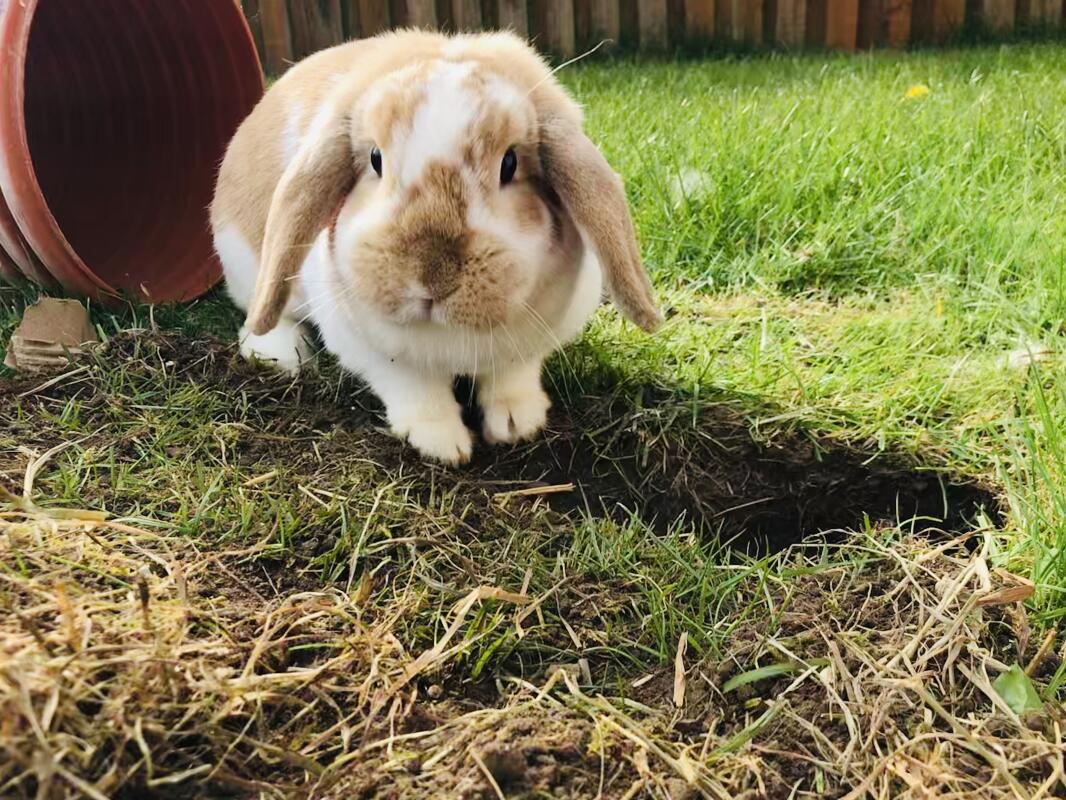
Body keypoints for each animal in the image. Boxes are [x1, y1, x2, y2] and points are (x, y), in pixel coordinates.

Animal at [210, 29, 660, 465]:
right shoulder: (375, 354)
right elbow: (415, 391)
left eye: (510, 163)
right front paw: (443, 445)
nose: (432, 274)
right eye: (375, 159)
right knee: (262, 319)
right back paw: (284, 354)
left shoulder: (529, 346)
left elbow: (512, 377)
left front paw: (518, 424)